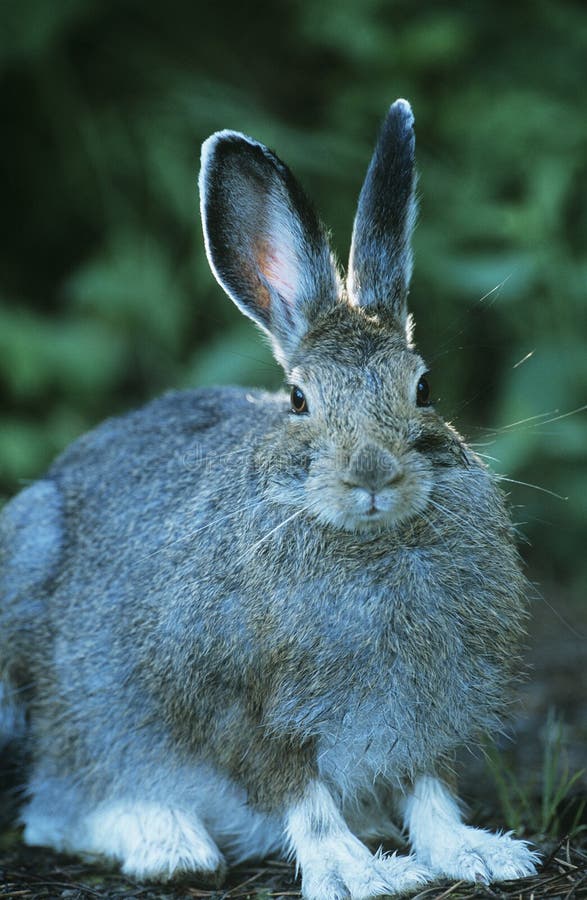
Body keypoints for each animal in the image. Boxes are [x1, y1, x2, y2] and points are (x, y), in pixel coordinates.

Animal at [0, 99, 540, 899]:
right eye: (297, 399)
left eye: (423, 388)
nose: (372, 474)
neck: (364, 546)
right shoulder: (236, 706)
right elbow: (299, 794)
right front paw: (353, 872)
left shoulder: (423, 708)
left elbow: (426, 788)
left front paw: (475, 855)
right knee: (59, 802)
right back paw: (168, 840)